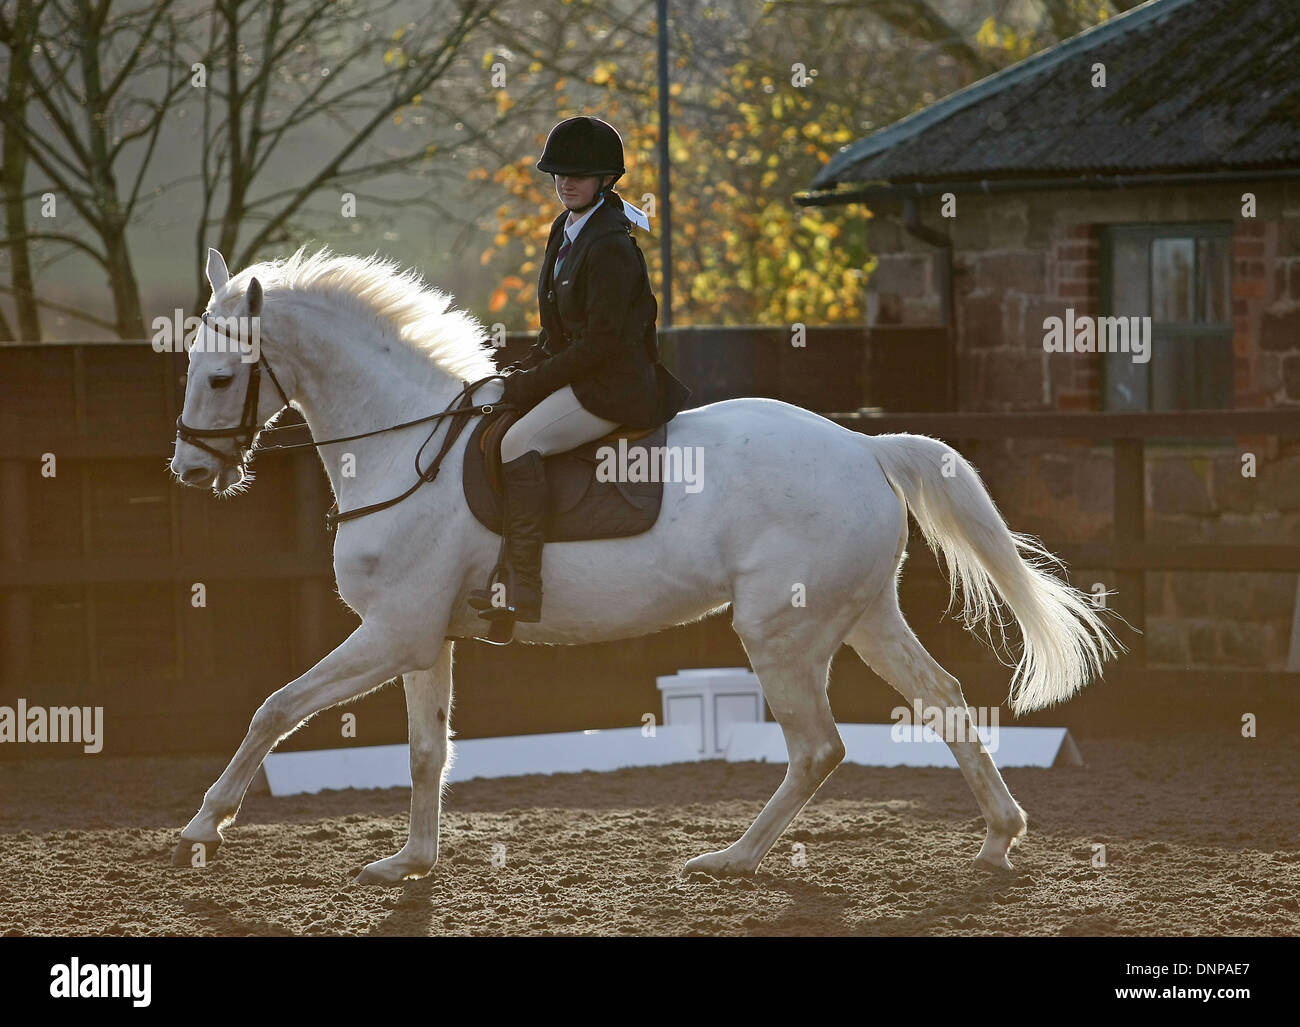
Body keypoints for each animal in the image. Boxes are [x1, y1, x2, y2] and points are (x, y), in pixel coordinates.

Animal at [168, 245, 1120, 885]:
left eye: (218, 378)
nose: (187, 472)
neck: (406, 446)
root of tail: (864, 445)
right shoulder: (423, 638)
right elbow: (425, 751)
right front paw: (411, 861)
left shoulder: (392, 631)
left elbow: (273, 707)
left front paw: (204, 825)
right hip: (864, 614)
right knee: (946, 700)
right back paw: (998, 837)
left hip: (781, 629)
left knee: (818, 746)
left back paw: (732, 859)